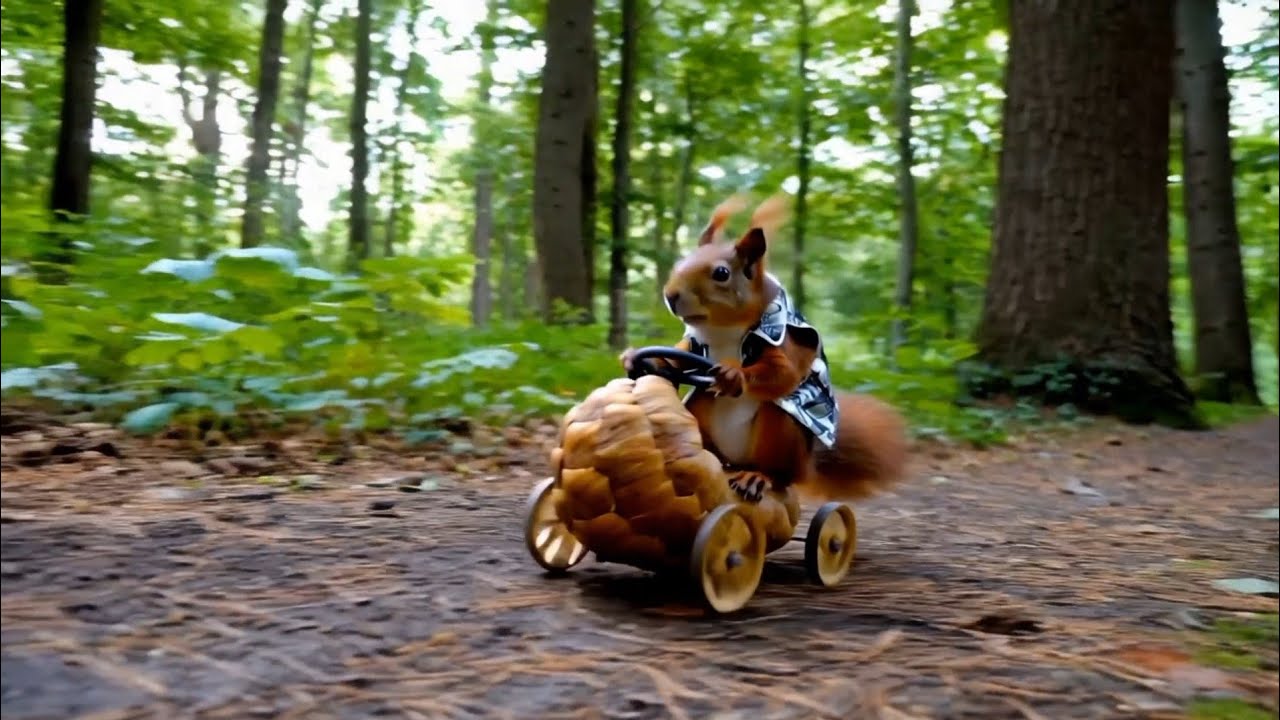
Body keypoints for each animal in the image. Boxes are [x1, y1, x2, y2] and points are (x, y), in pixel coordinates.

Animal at [621, 194, 908, 505]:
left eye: (721, 273)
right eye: (679, 263)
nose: (671, 295)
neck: (723, 329)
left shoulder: (785, 338)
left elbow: (783, 373)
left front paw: (734, 374)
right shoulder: (692, 344)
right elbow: (676, 361)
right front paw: (633, 357)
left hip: (781, 435)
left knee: (779, 474)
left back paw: (756, 478)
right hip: (700, 409)